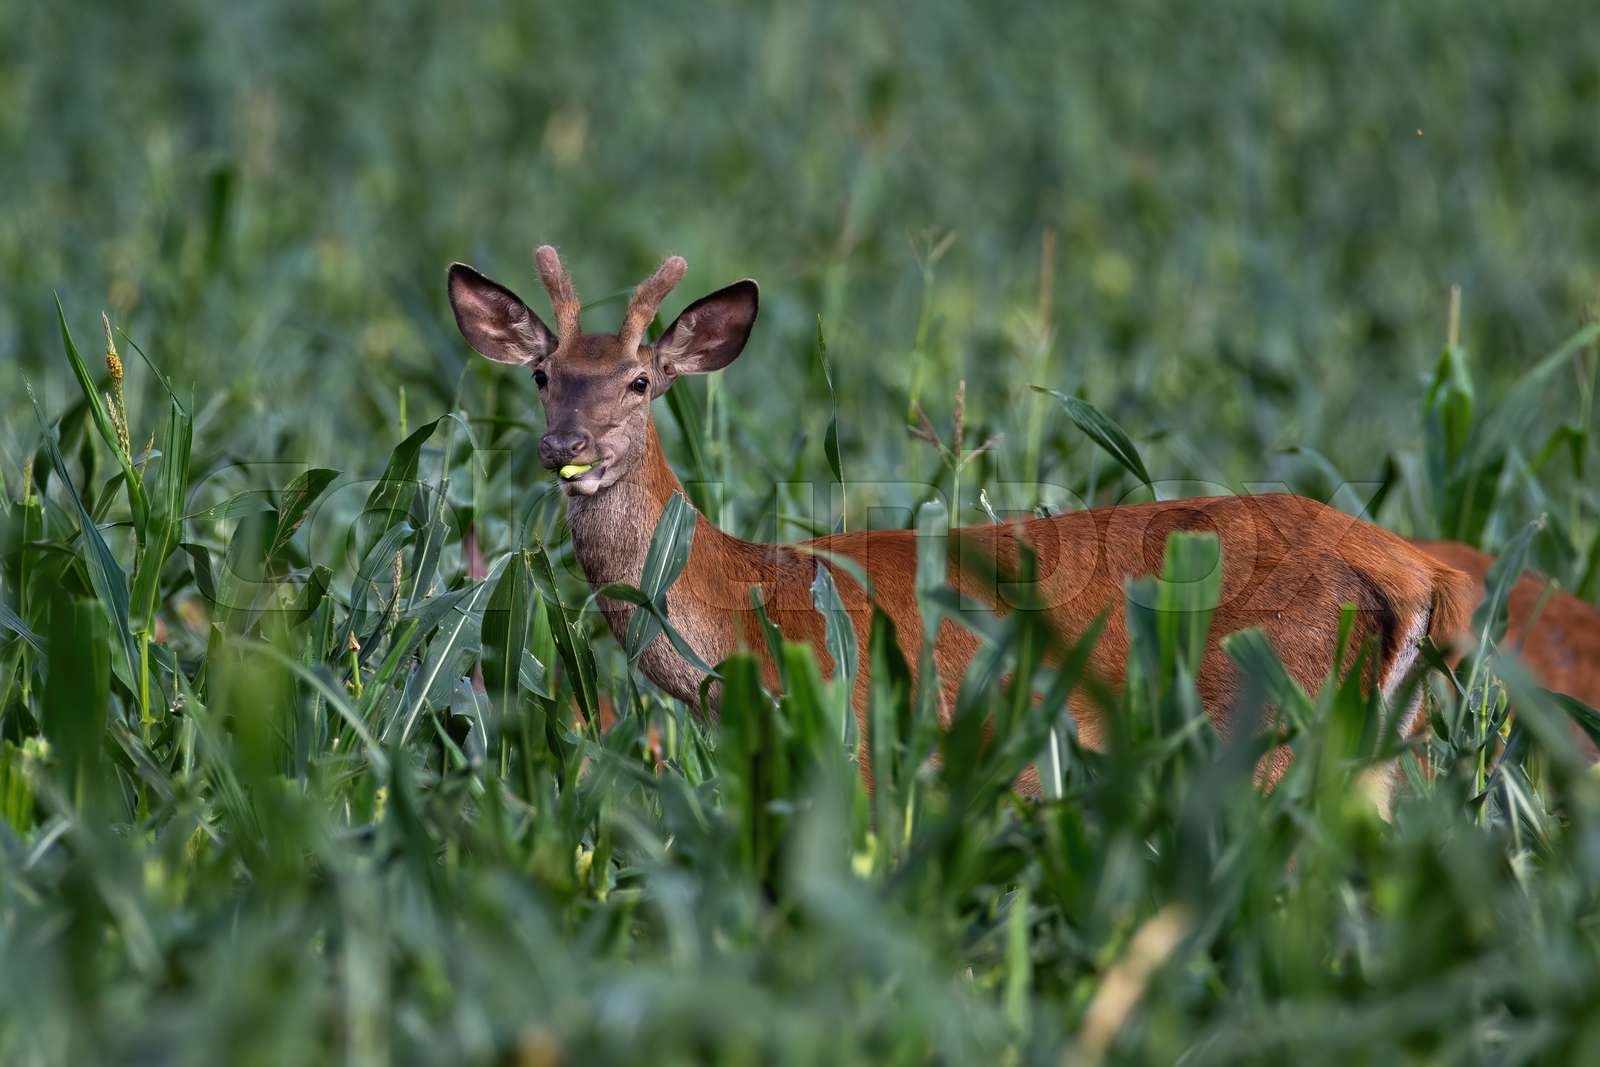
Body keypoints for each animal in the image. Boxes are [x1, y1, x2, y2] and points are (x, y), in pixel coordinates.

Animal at [446, 246, 1477, 809]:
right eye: (541, 374)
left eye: (639, 381)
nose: (567, 447)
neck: (742, 606)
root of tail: (1424, 573)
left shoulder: (862, 743)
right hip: (1378, 744)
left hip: (1271, 715)